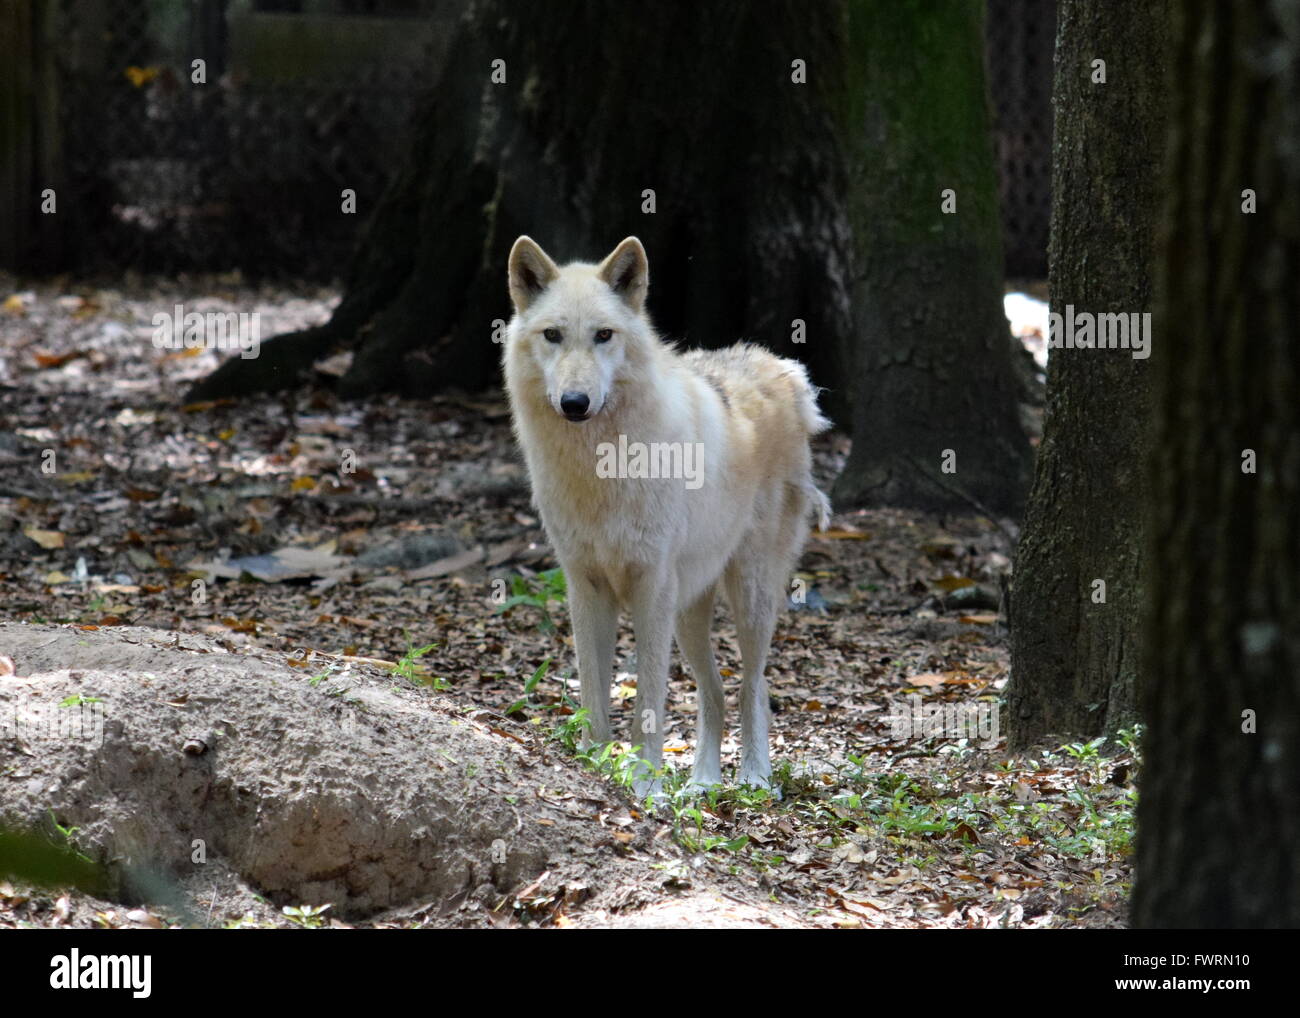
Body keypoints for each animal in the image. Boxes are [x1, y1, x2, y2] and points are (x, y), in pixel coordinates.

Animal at [502, 235, 830, 798]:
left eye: (603, 335)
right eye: (553, 336)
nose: (574, 402)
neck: (599, 468)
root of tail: (782, 368)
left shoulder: (650, 586)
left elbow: (648, 703)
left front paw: (645, 785)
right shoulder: (585, 587)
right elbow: (594, 695)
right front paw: (593, 763)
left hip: (748, 595)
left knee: (754, 687)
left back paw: (753, 776)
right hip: (688, 611)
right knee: (713, 693)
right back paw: (702, 783)